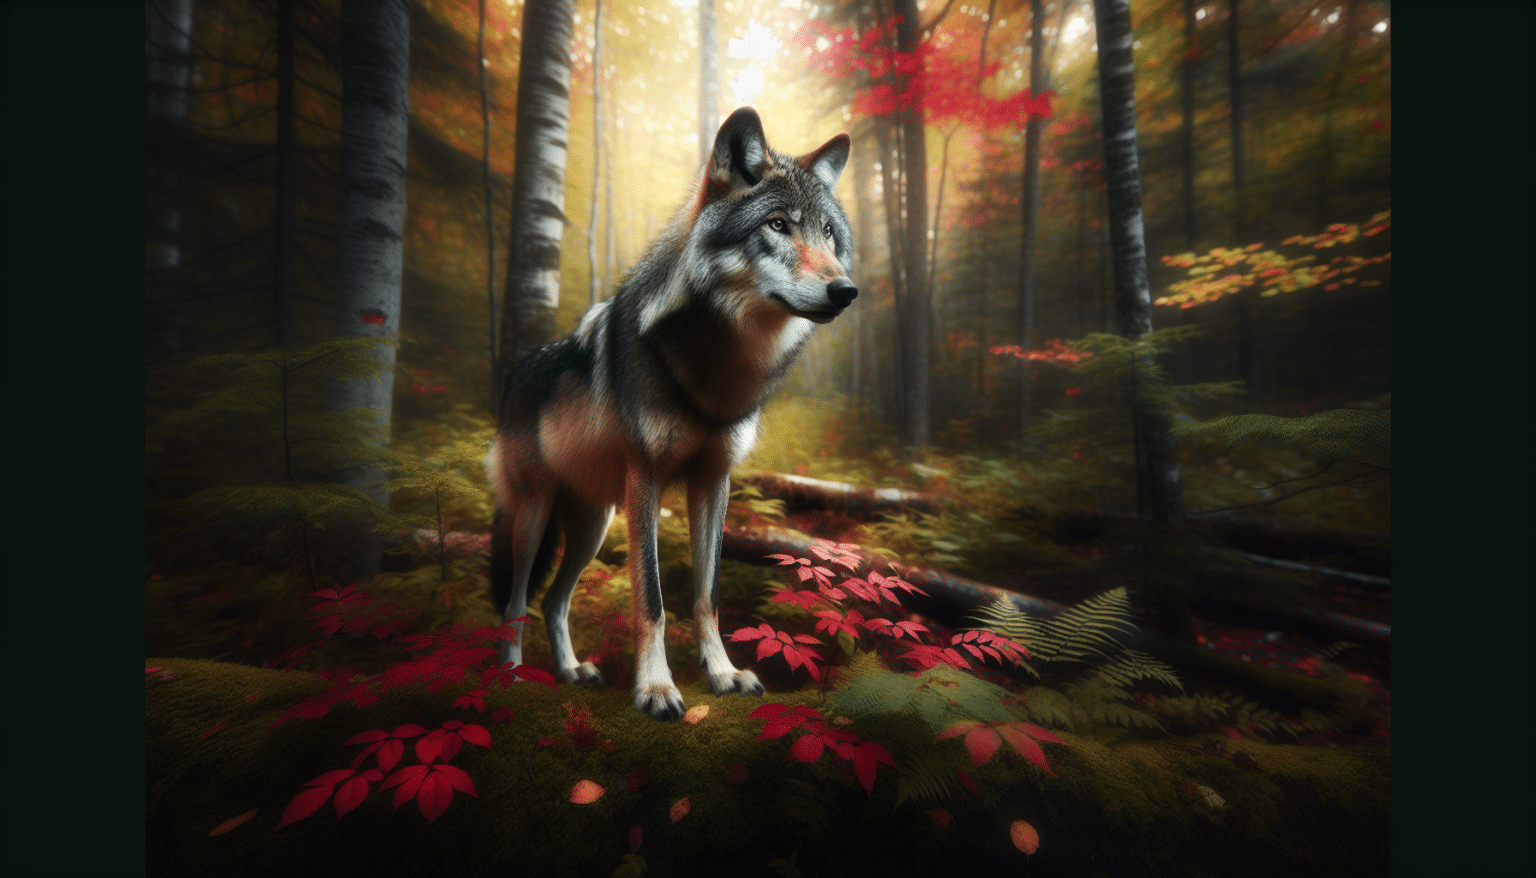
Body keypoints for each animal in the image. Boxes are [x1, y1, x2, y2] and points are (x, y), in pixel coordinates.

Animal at [486, 108, 856, 720]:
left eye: (828, 233)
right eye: (778, 225)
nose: (846, 290)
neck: (716, 366)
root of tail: (513, 376)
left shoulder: (712, 481)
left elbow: (706, 594)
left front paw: (723, 674)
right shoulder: (647, 479)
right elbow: (653, 600)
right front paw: (656, 689)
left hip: (592, 526)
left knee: (555, 600)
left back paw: (571, 671)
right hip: (535, 517)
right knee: (516, 600)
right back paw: (512, 675)